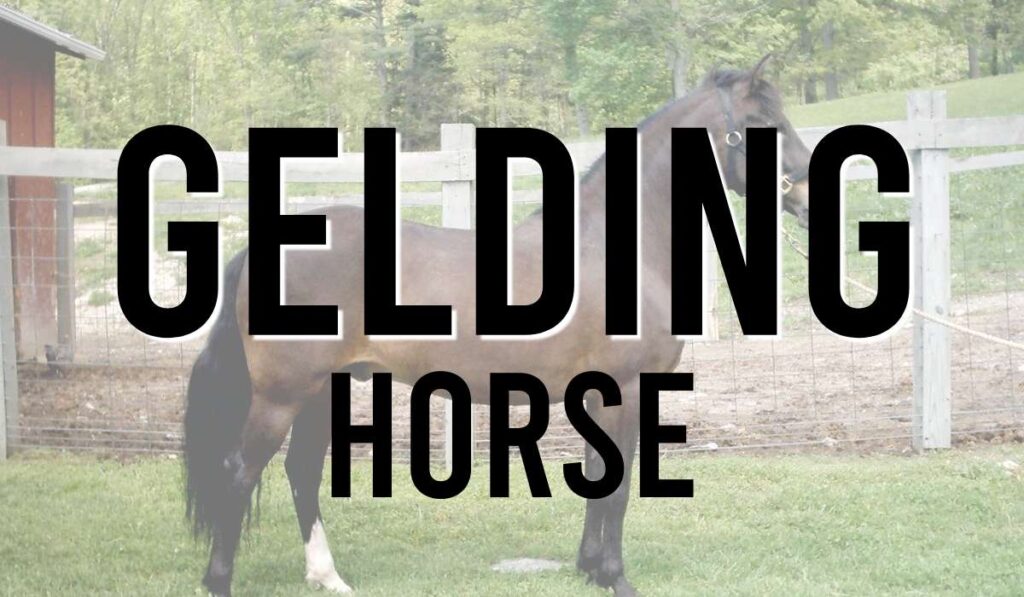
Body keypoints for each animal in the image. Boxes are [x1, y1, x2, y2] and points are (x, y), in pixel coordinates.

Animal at [183, 55, 812, 597]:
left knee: (301, 472)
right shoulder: (629, 390)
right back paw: (219, 581)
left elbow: (598, 476)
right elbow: (619, 486)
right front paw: (615, 577)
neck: (614, 248)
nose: (807, 196)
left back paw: (327, 577)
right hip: (283, 395)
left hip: (322, 390)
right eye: (762, 124)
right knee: (239, 472)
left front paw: (589, 568)